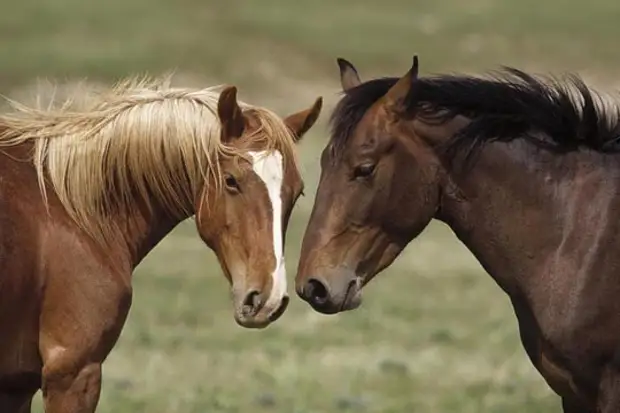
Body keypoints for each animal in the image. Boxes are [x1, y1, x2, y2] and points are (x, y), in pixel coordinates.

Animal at [0, 75, 322, 410]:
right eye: (231, 181)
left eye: (297, 192)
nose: (268, 299)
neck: (70, 208)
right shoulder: (73, 372)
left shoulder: (16, 386)